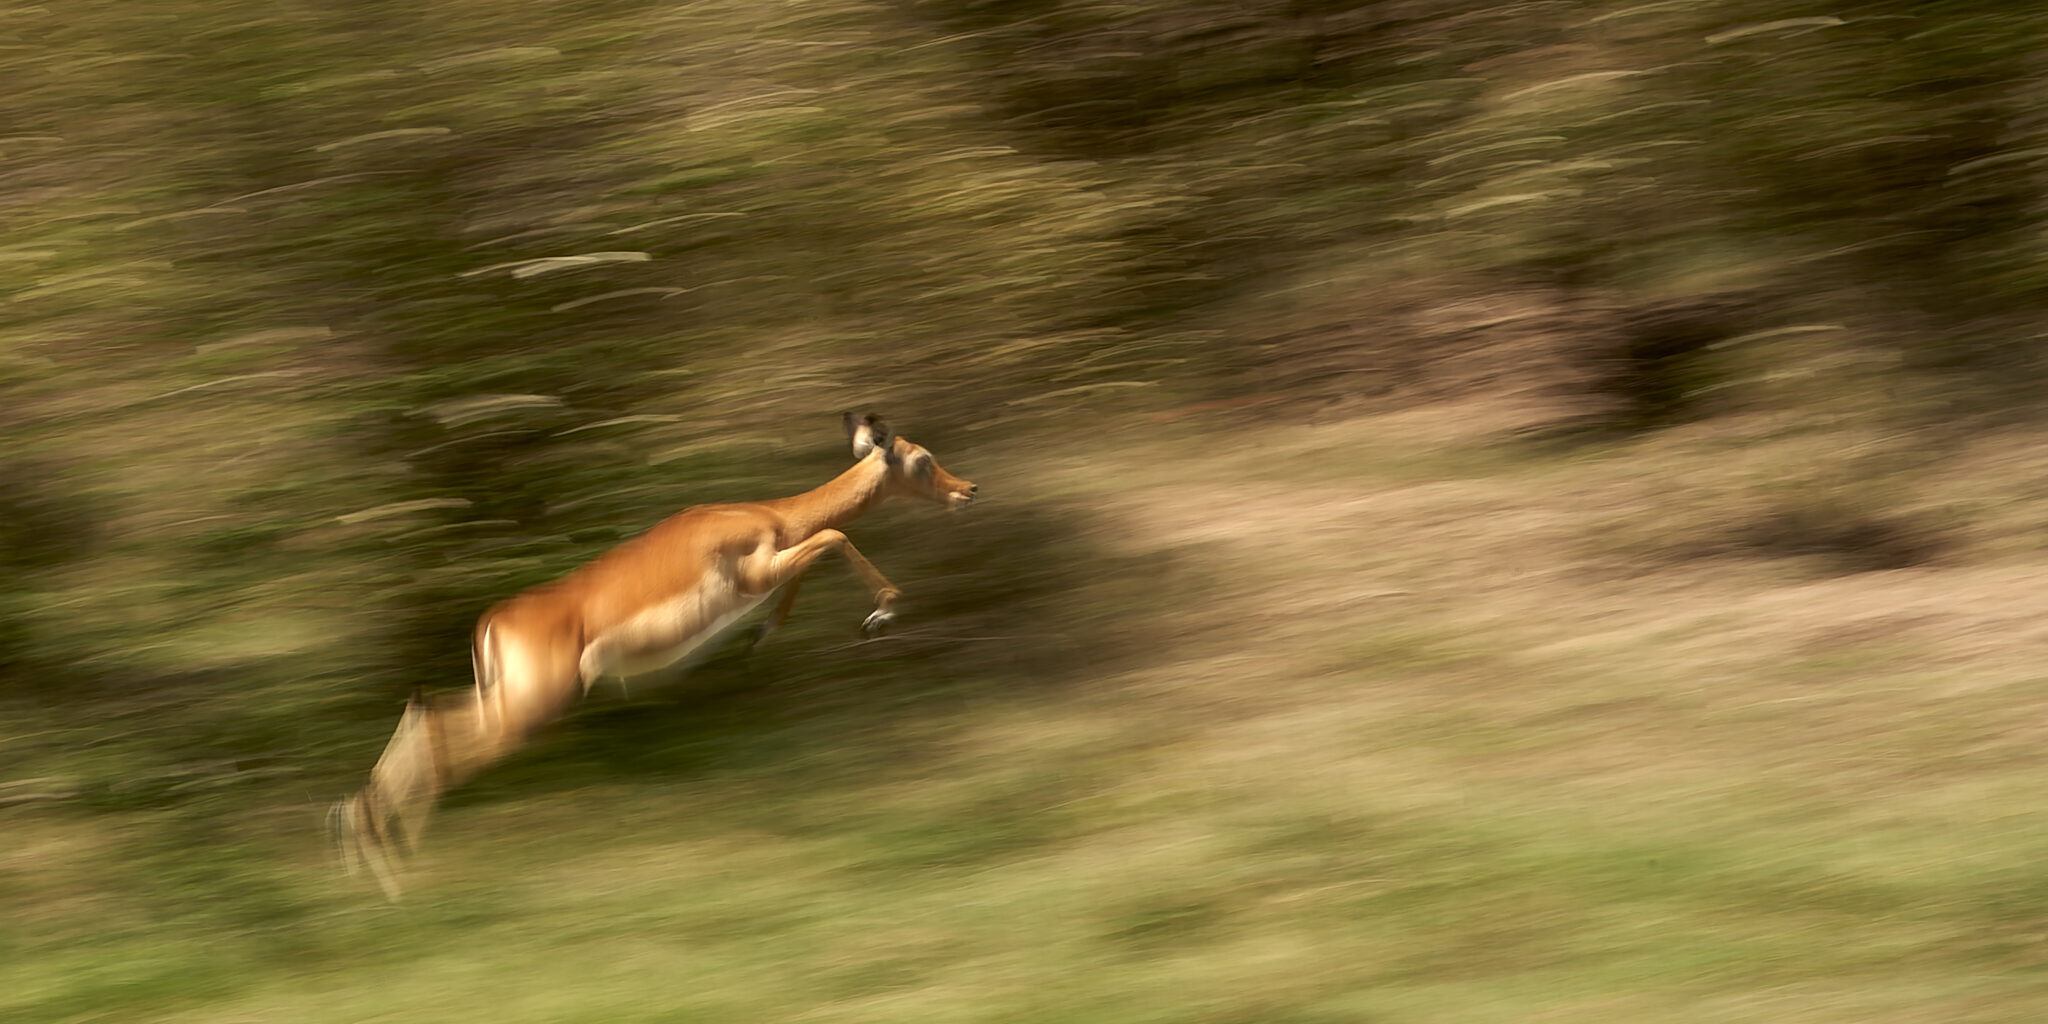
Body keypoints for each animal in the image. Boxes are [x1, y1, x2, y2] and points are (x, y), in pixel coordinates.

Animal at [329, 413, 977, 898]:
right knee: (440, 739)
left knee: (425, 712)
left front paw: (765, 636)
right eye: (922, 459)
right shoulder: (757, 569)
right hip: (529, 708)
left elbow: (813, 558)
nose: (968, 490)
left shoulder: (770, 571)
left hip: (505, 698)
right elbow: (835, 538)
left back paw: (368, 847)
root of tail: (493, 621)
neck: (768, 514)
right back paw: (397, 868)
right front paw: (881, 613)